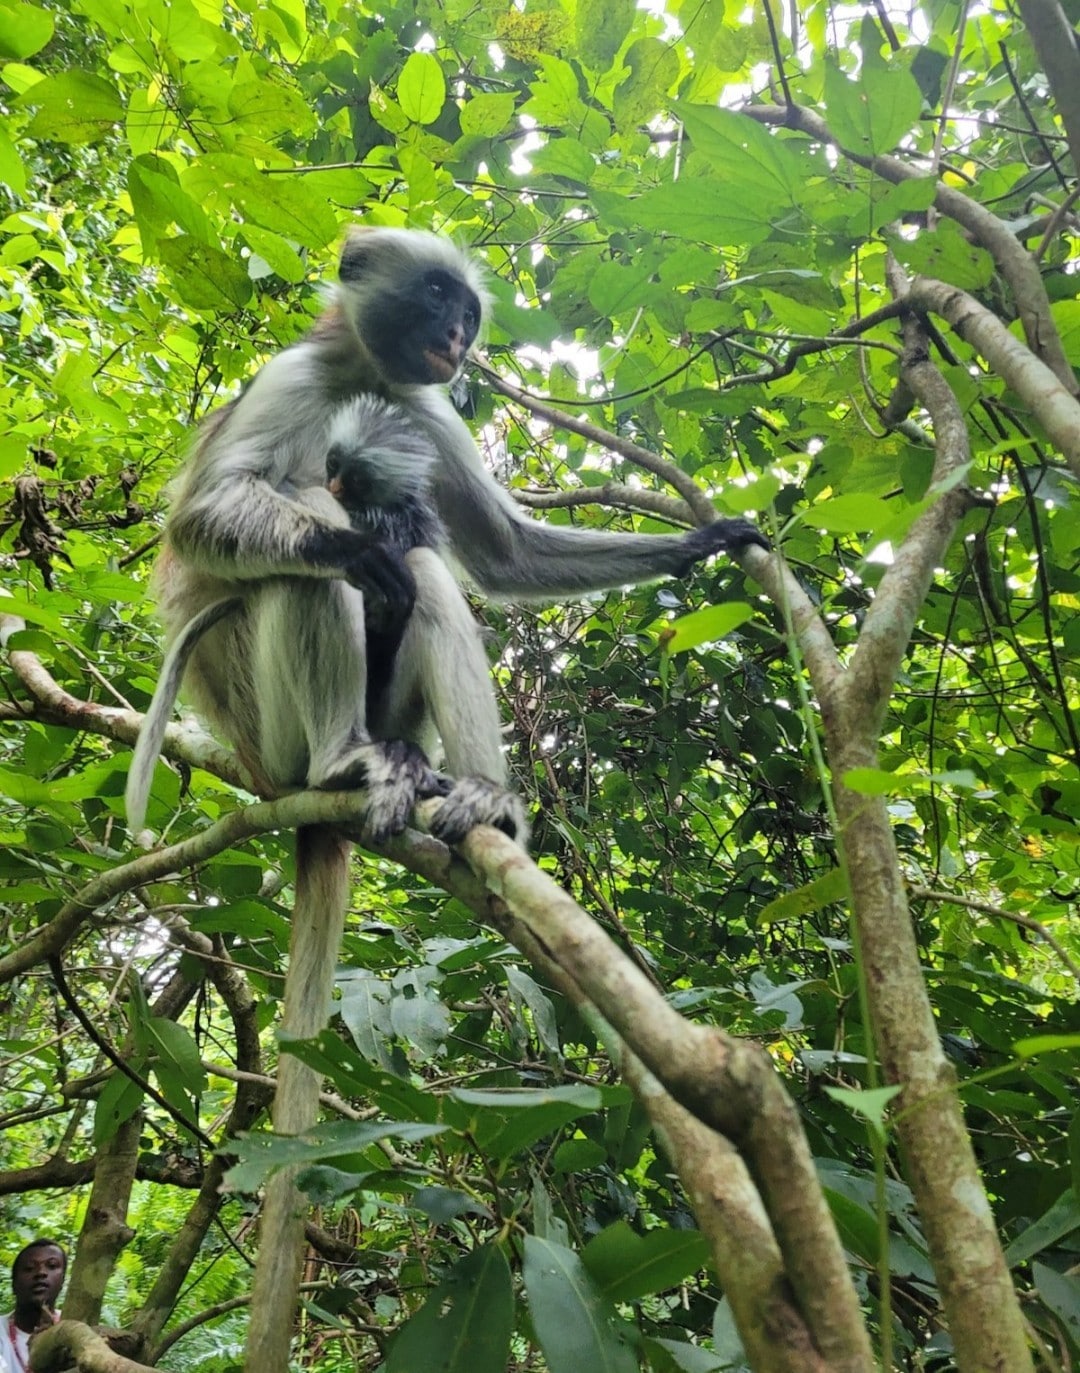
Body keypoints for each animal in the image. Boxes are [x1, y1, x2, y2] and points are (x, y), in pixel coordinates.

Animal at [124, 226, 768, 1373]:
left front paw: (705, 543)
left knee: (426, 571)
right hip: (266, 723)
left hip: (402, 716)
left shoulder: (426, 409)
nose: (461, 337)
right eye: (437, 296)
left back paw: (478, 797)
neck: (368, 381)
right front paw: (348, 533)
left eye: (466, 311)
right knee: (305, 570)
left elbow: (499, 551)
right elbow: (209, 521)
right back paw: (345, 742)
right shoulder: (299, 380)